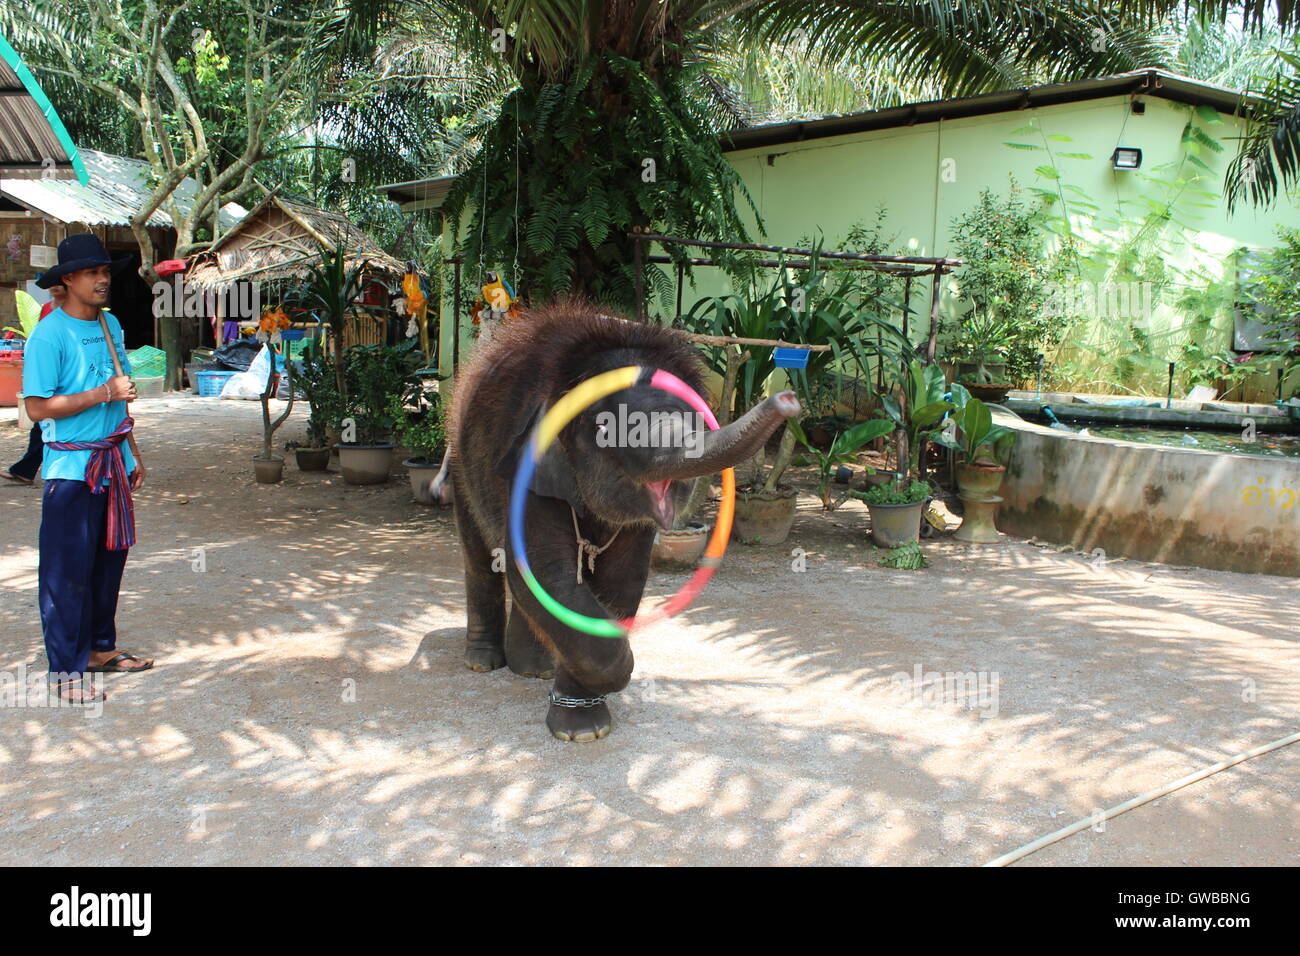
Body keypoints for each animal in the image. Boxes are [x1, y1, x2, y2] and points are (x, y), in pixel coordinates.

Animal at [445, 301, 800, 741]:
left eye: (692, 417)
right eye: (604, 427)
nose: (788, 398)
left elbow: (622, 579)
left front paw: (584, 722)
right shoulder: (526, 469)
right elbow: (546, 573)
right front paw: (602, 698)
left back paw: (534, 670)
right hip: (459, 462)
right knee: (480, 558)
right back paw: (483, 661)